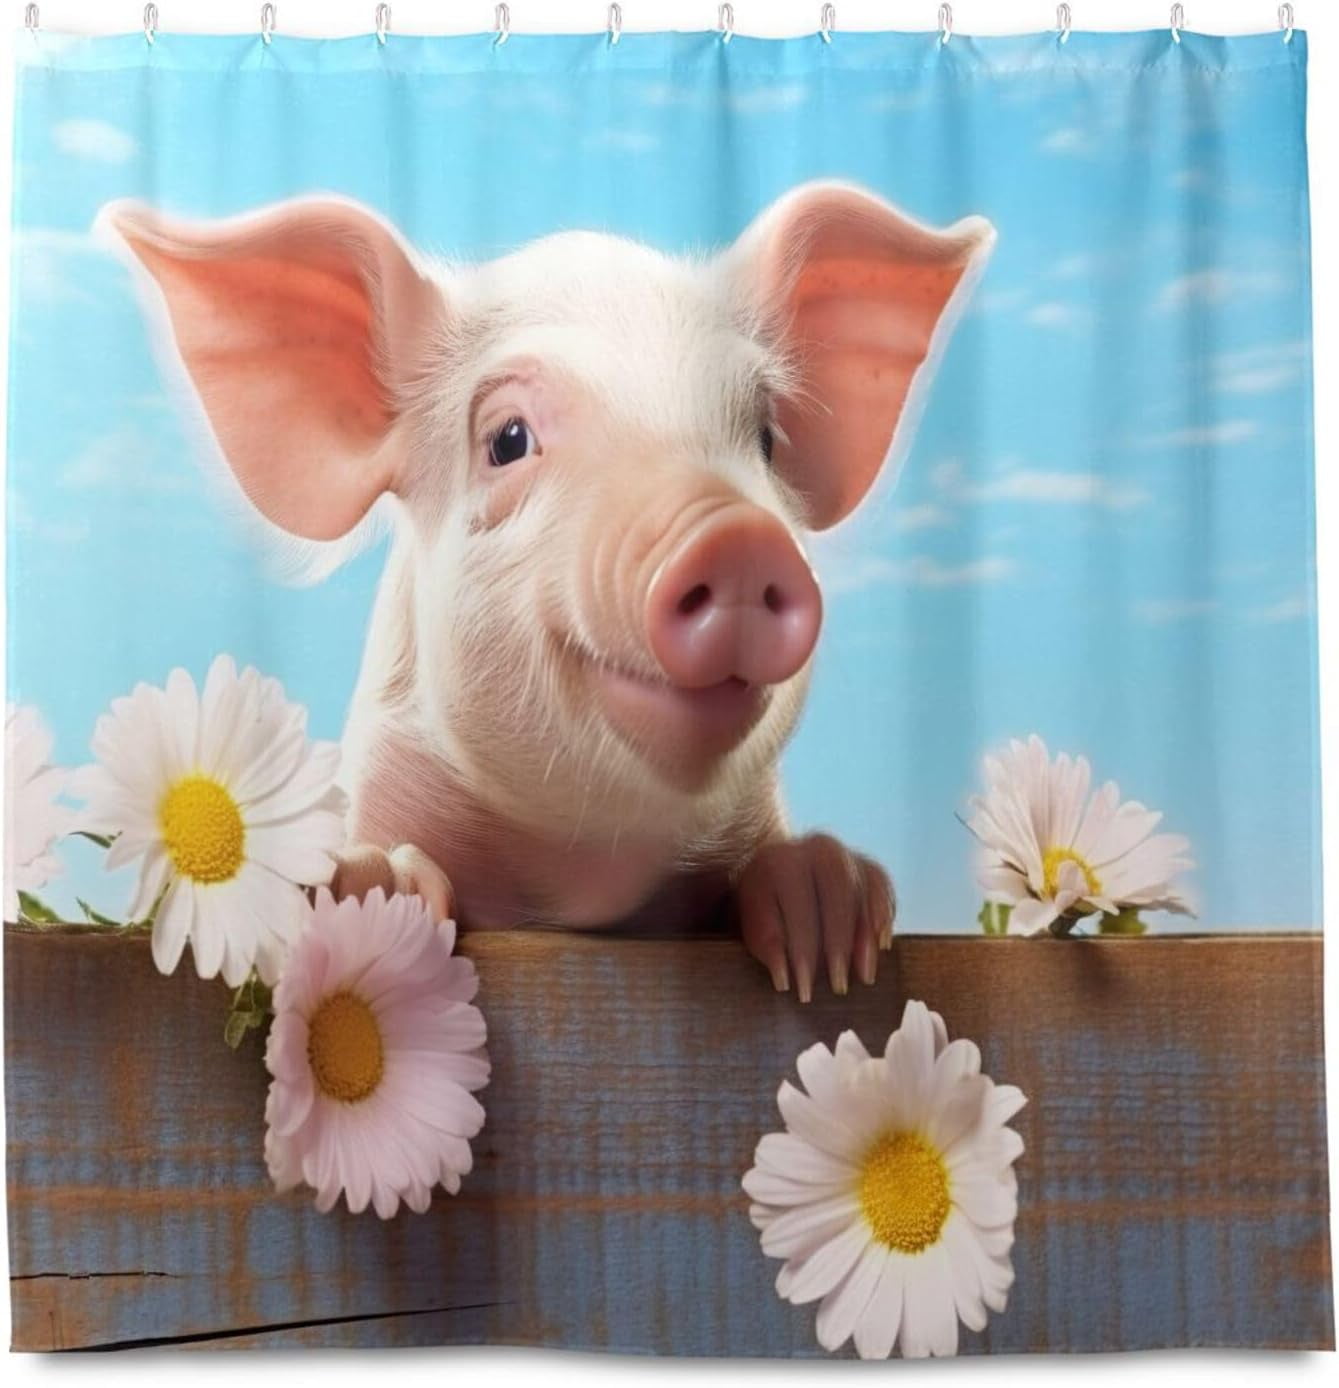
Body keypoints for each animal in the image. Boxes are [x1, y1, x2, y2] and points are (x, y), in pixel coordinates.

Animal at [99, 183, 994, 1000]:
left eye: (767, 439)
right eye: (507, 439)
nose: (737, 537)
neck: (579, 892)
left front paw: (829, 925)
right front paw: (372, 886)